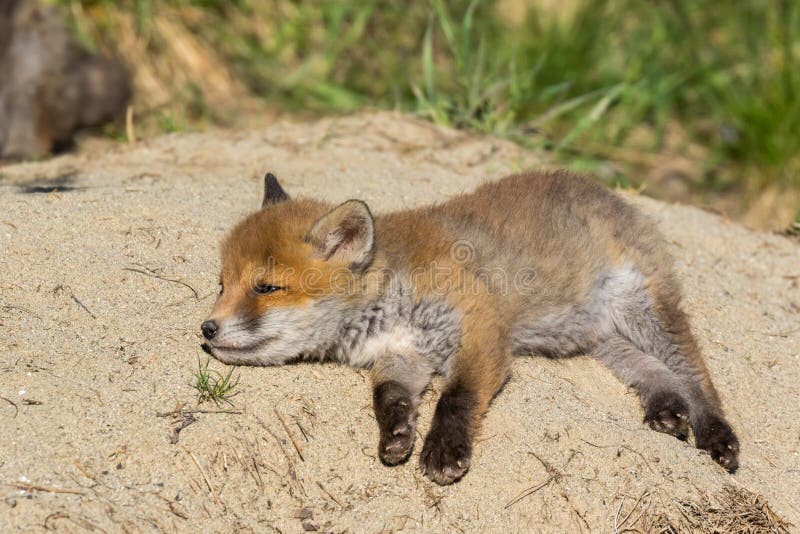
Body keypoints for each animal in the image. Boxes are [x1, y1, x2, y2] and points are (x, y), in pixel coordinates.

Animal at [201, 171, 740, 484]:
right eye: (223, 283)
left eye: (266, 287)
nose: (207, 329)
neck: (389, 297)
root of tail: (604, 190)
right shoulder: (404, 355)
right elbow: (388, 397)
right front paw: (398, 434)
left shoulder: (481, 330)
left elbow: (456, 397)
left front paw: (444, 452)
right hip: (595, 336)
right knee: (655, 372)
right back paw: (667, 408)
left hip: (642, 311)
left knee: (696, 376)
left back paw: (716, 434)